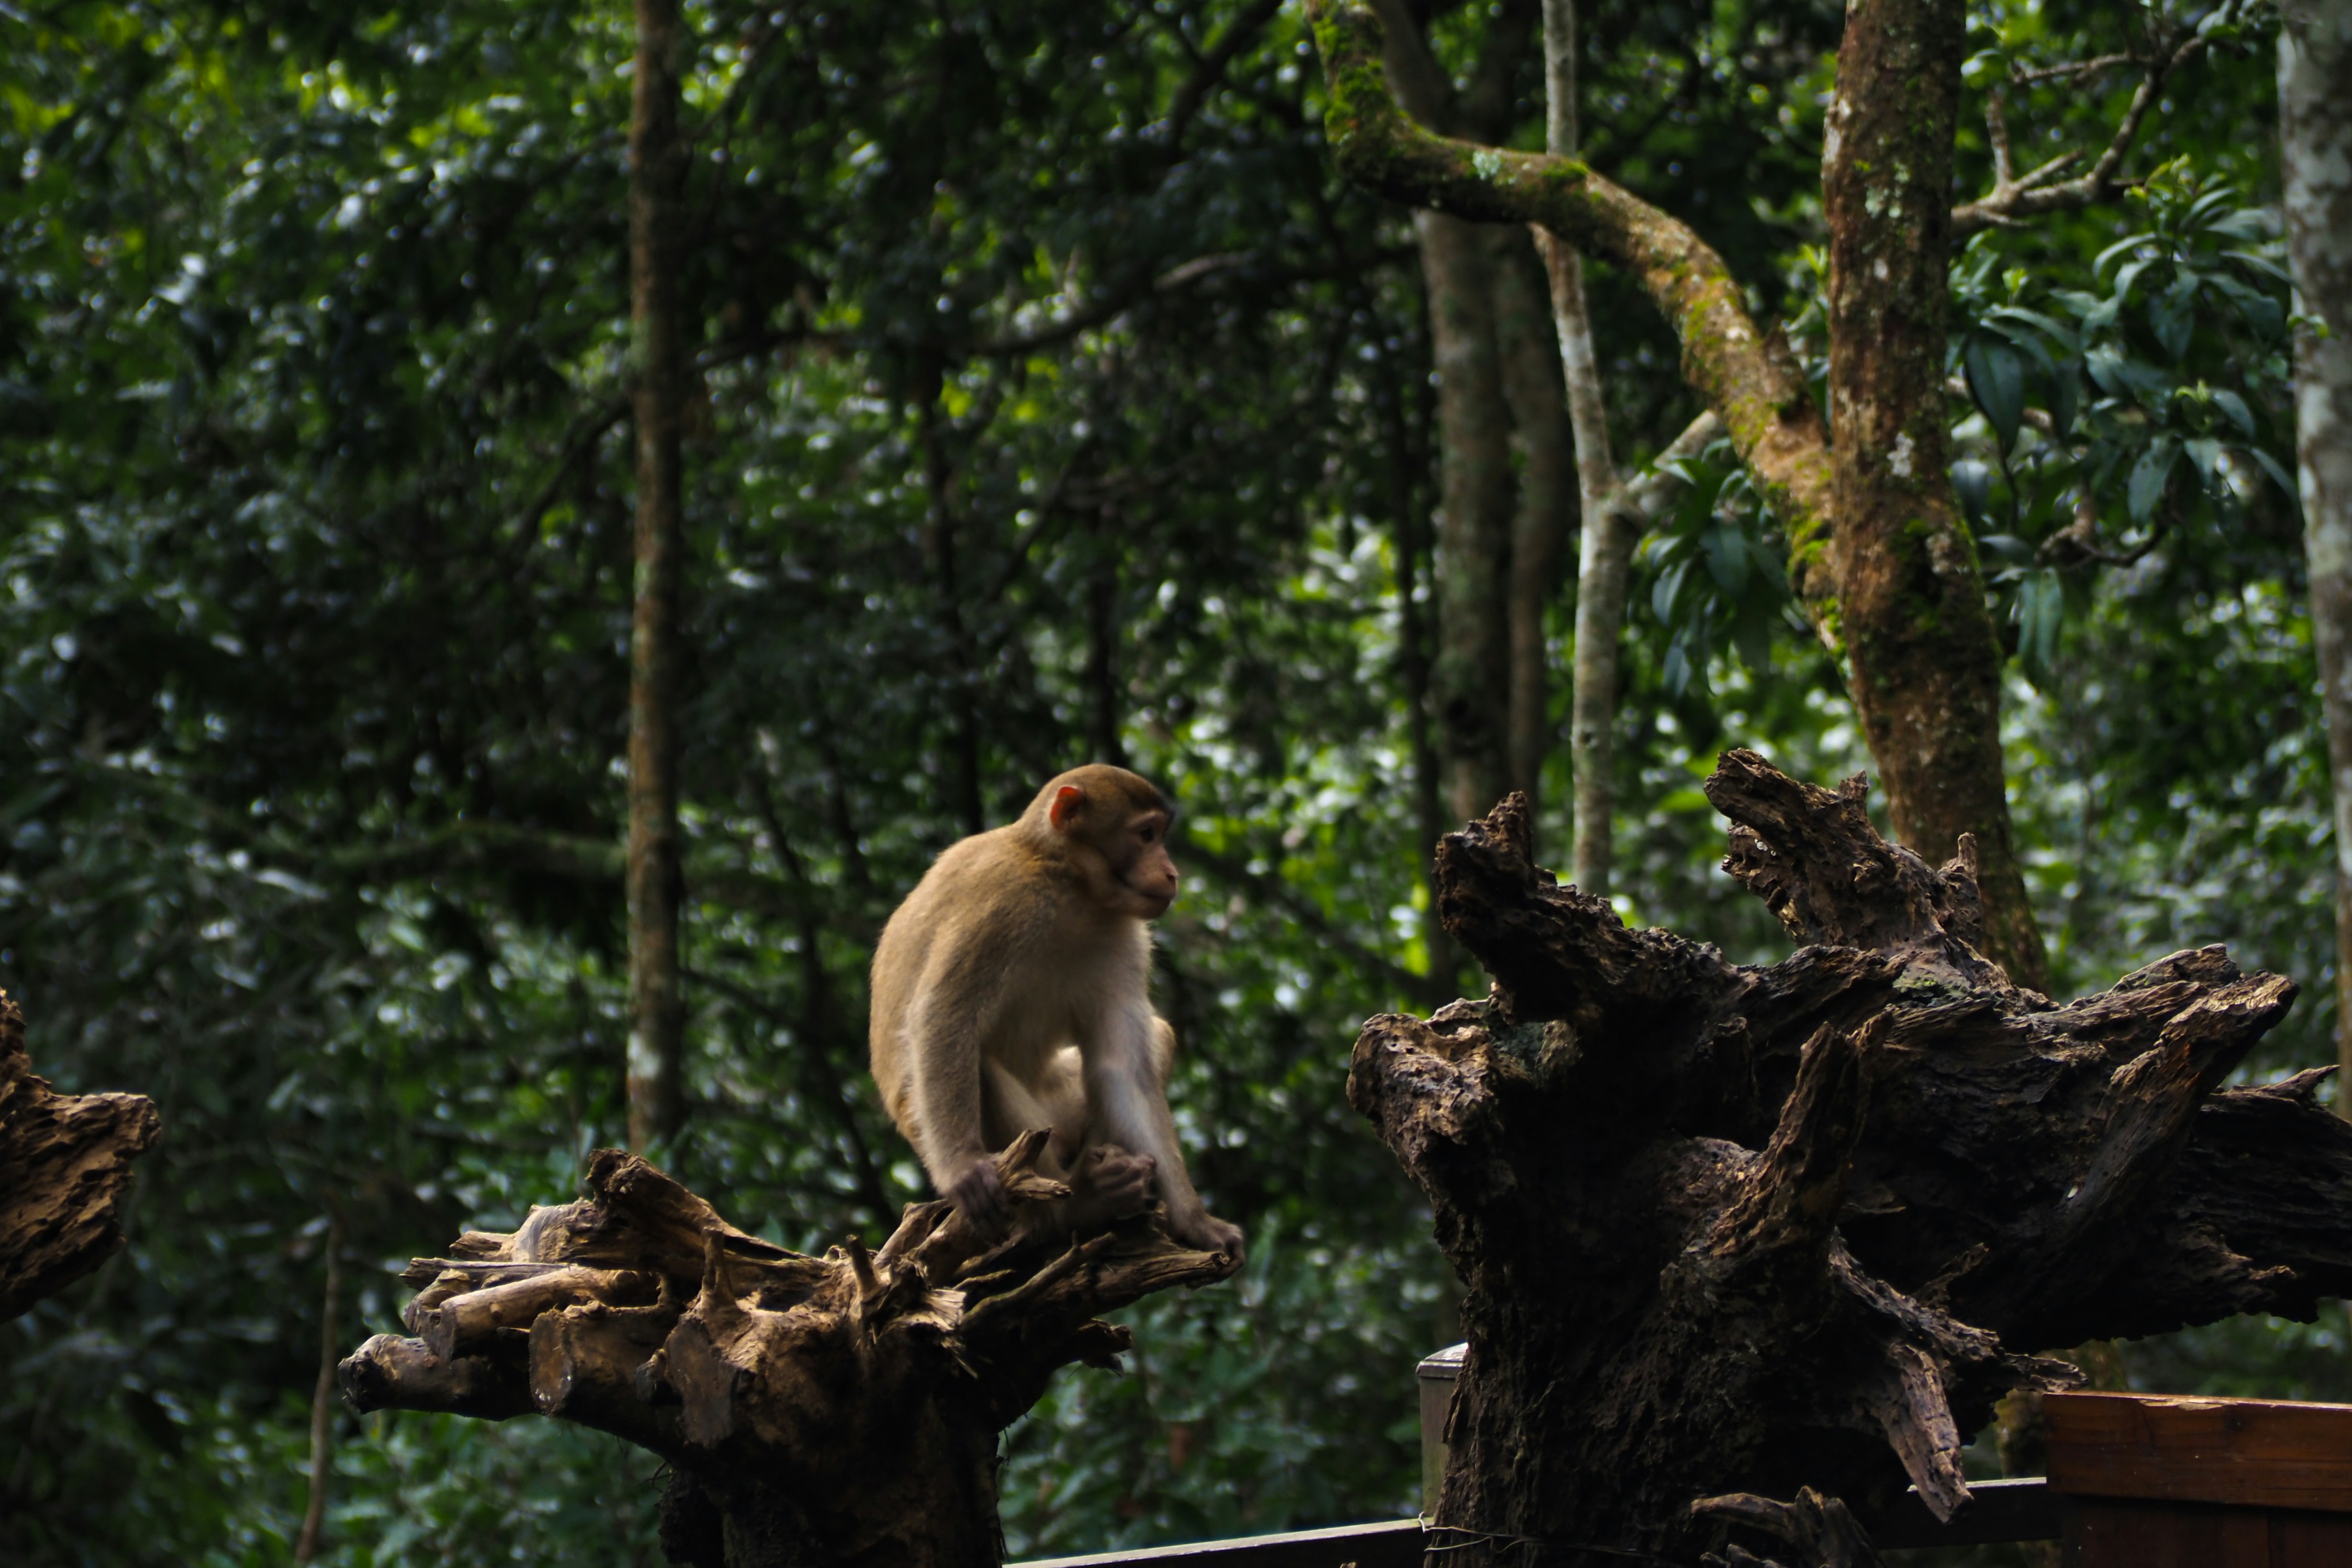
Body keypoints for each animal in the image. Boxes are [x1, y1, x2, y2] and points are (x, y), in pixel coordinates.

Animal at [868, 764, 1245, 1261]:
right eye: (1145, 835)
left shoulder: (1124, 936)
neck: (1068, 883)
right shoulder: (1002, 902)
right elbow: (944, 1013)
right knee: (977, 1061)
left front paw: (1196, 1222)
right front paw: (964, 1166)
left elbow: (1120, 1069)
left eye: (1160, 836)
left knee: (1155, 1036)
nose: (1172, 873)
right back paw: (1077, 1207)